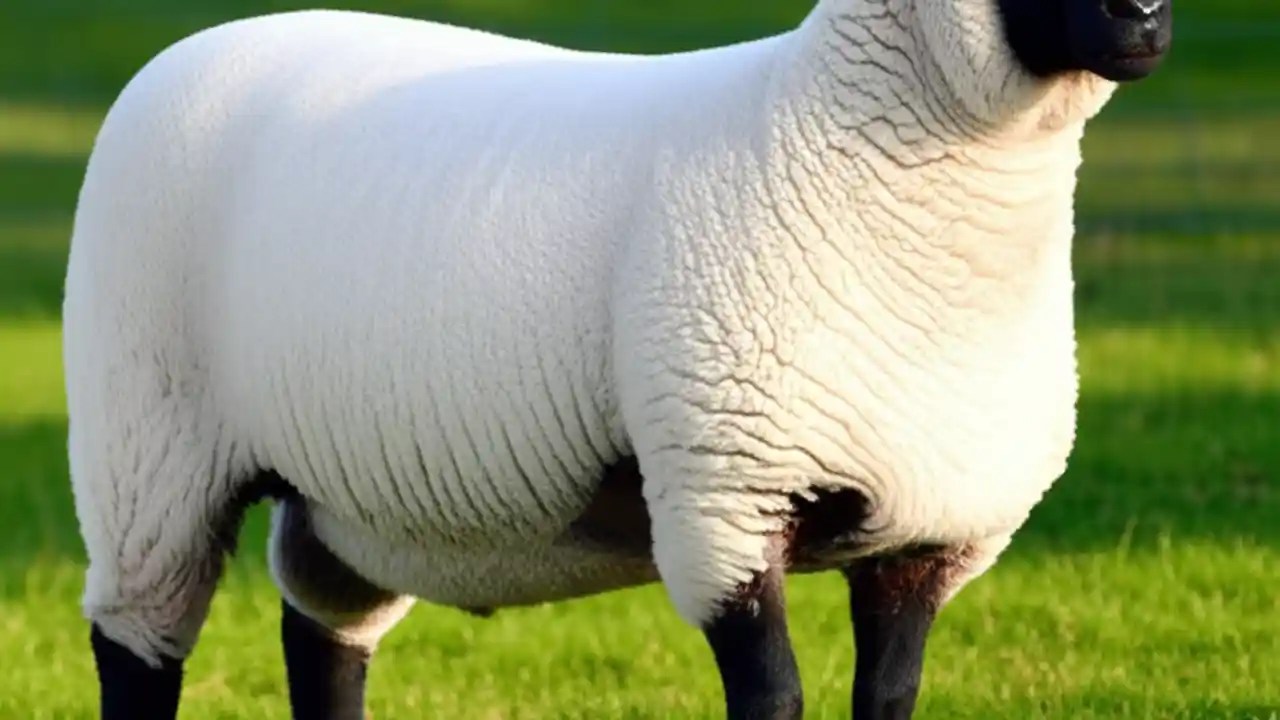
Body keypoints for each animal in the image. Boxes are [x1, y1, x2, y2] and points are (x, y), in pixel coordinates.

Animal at [63, 0, 1172, 717]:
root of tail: (188, 49)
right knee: (137, 647)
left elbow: (889, 695)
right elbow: (773, 696)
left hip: (348, 493)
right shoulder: (726, 496)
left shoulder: (931, 529)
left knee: (323, 633)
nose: (1147, 17)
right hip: (145, 440)